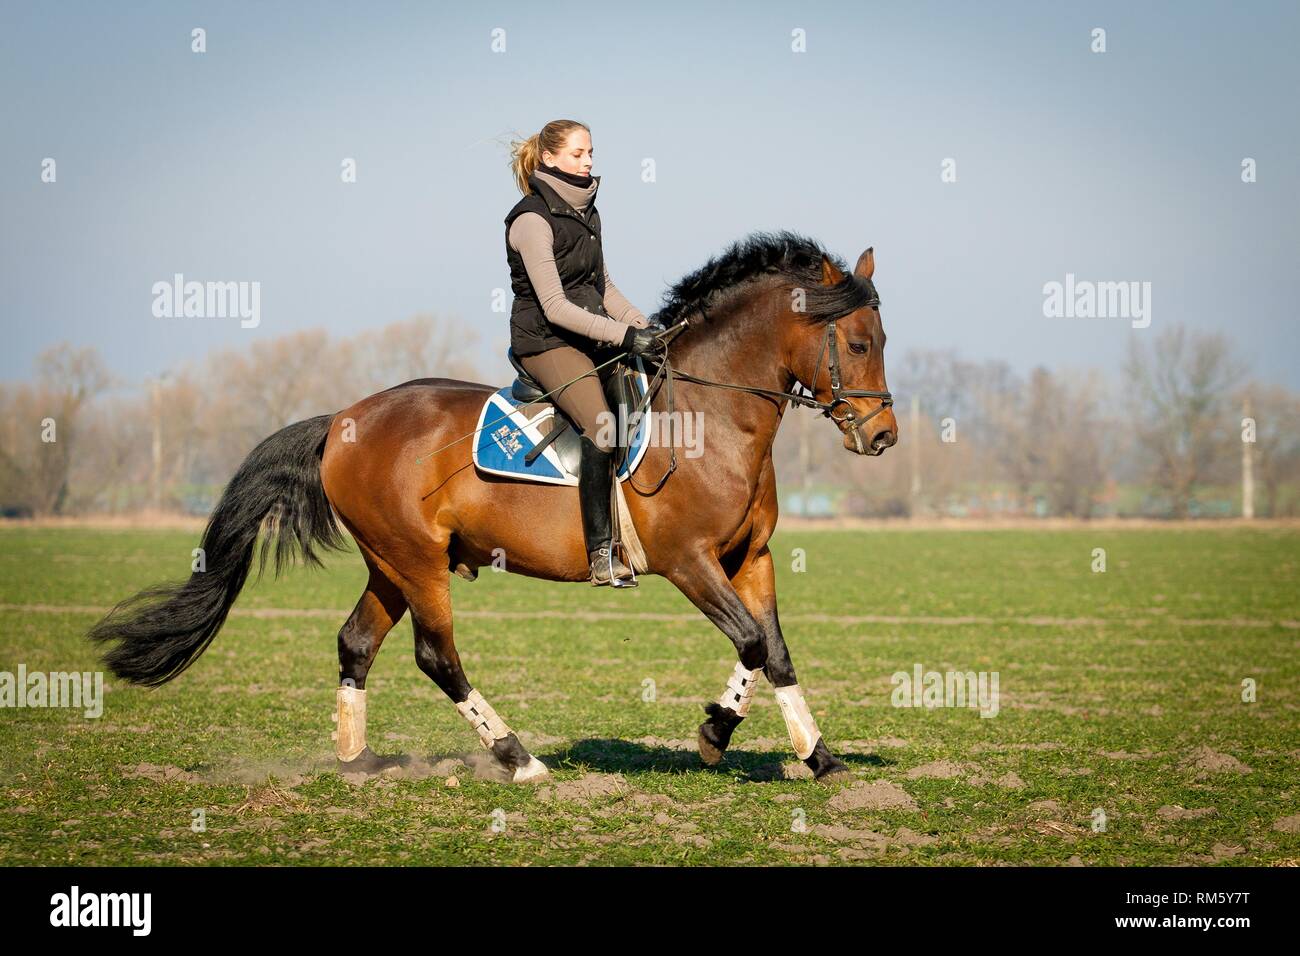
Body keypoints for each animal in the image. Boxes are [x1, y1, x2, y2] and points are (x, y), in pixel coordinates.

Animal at [88, 231, 897, 785]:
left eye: (882, 339)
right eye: (858, 343)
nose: (883, 436)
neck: (710, 418)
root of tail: (342, 420)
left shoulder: (750, 558)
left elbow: (778, 654)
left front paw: (820, 759)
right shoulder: (689, 563)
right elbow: (752, 645)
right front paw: (713, 735)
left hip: (391, 563)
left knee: (356, 643)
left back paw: (359, 761)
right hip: (417, 562)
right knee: (436, 655)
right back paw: (518, 758)